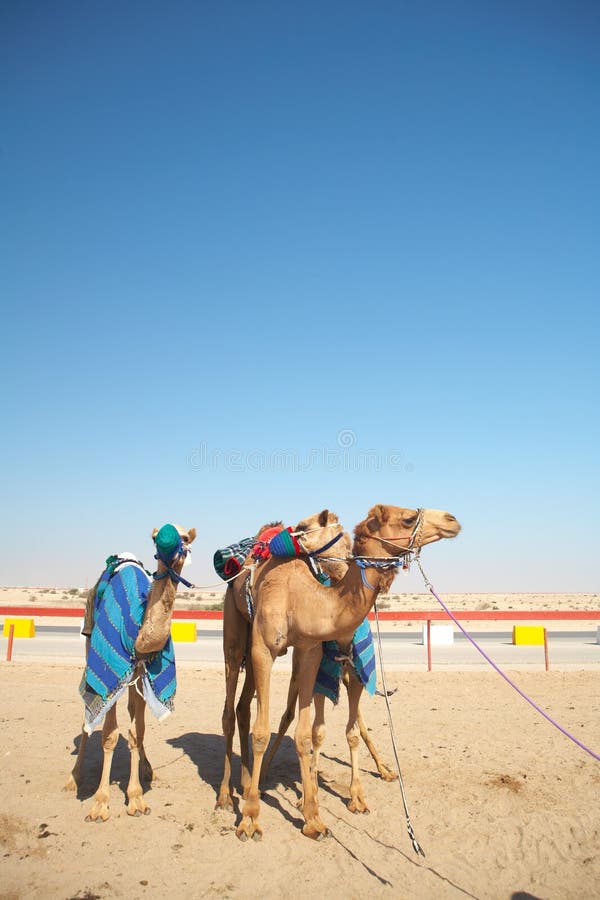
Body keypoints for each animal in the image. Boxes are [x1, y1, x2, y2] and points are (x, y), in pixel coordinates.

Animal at [64, 523, 196, 821]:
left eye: (185, 537)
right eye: (155, 537)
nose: (167, 541)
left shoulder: (141, 672)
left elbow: (137, 733)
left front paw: (136, 798)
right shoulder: (113, 675)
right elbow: (110, 735)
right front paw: (100, 803)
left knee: (133, 717)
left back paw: (149, 770)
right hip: (89, 642)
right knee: (87, 720)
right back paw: (73, 778)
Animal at [215, 509, 349, 812]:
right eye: (345, 542)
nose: (350, 562)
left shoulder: (308, 650)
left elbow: (303, 731)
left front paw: (311, 810)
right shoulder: (264, 649)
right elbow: (262, 731)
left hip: (251, 650)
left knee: (243, 707)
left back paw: (246, 783)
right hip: (234, 627)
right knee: (229, 708)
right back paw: (225, 795)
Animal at [235, 504, 461, 841]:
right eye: (408, 518)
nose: (452, 520)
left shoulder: (331, 661)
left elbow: (336, 732)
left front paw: (340, 803)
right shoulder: (265, 650)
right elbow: (267, 732)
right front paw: (250, 819)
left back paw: (380, 770)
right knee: (260, 712)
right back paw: (249, 786)